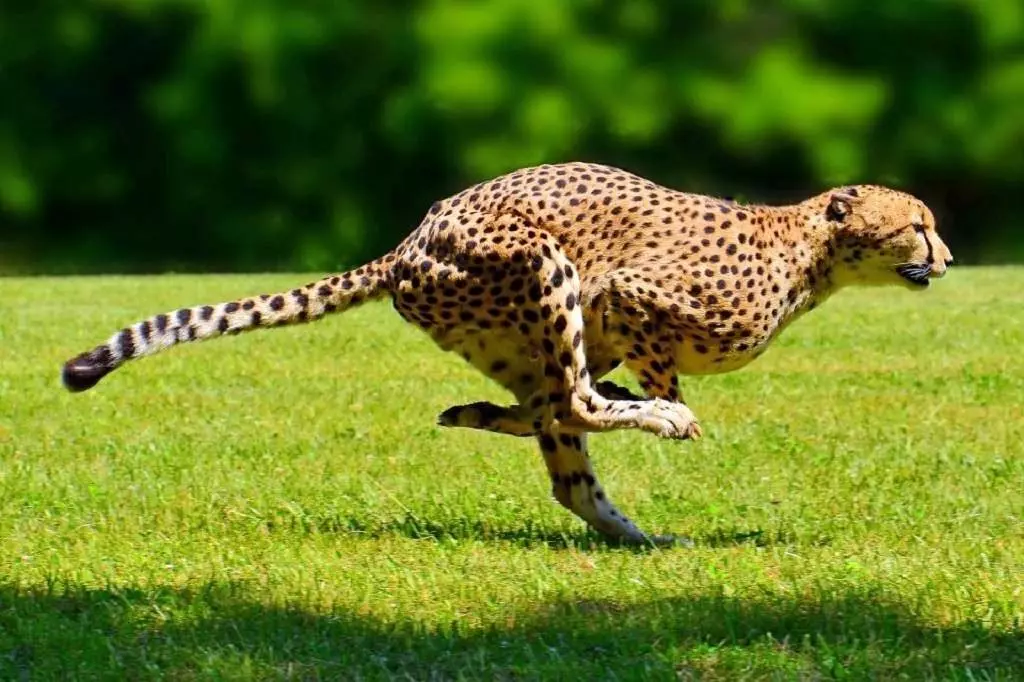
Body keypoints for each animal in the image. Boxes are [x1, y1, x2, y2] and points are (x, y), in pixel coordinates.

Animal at [61, 161, 950, 544]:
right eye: (917, 224)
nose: (945, 259)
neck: (810, 254)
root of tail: (410, 239)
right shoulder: (623, 295)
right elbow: (657, 383)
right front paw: (666, 411)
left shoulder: (601, 325)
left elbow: (567, 404)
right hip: (543, 270)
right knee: (573, 404)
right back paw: (637, 430)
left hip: (518, 328)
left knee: (560, 446)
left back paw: (620, 522)